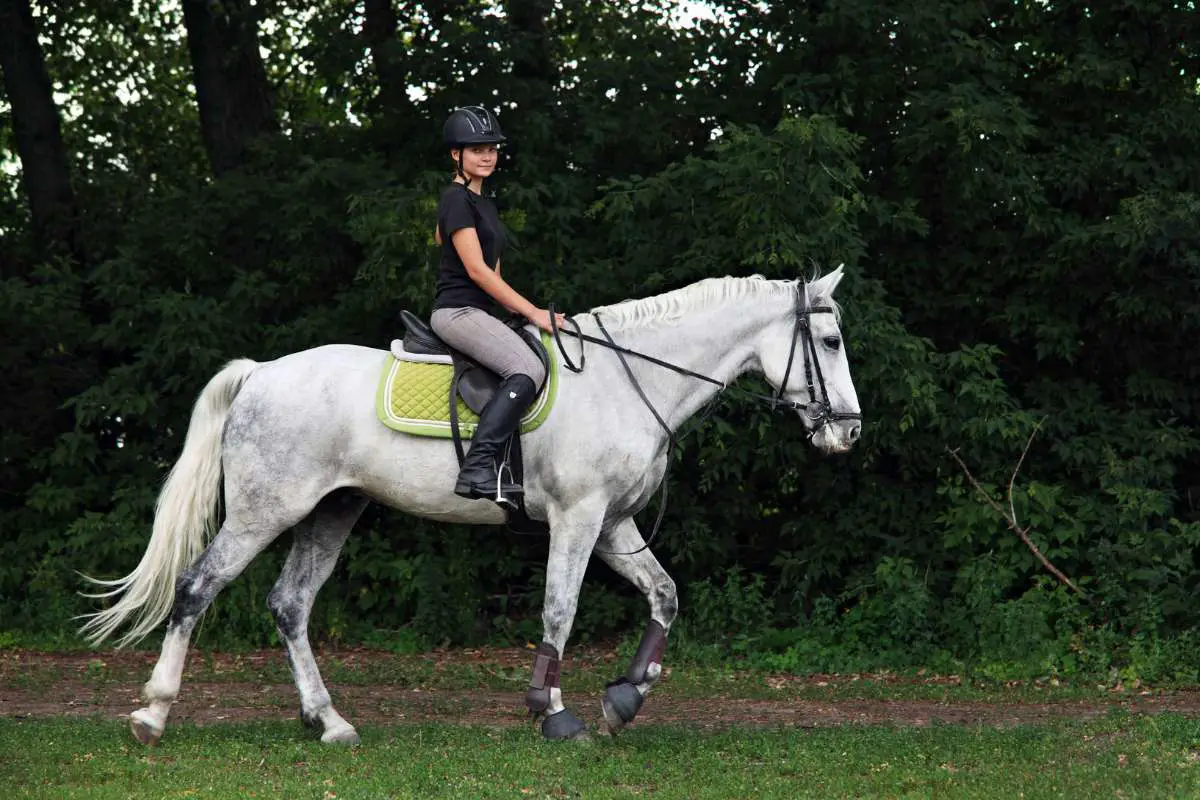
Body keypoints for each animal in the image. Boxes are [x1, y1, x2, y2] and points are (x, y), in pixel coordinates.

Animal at [80, 267, 862, 744]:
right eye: (829, 340)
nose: (849, 433)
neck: (627, 380)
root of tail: (260, 373)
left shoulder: (614, 523)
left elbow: (665, 595)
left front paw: (625, 699)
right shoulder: (578, 518)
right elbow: (559, 611)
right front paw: (553, 713)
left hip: (333, 511)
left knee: (289, 605)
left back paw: (329, 721)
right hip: (260, 513)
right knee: (197, 589)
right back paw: (153, 713)